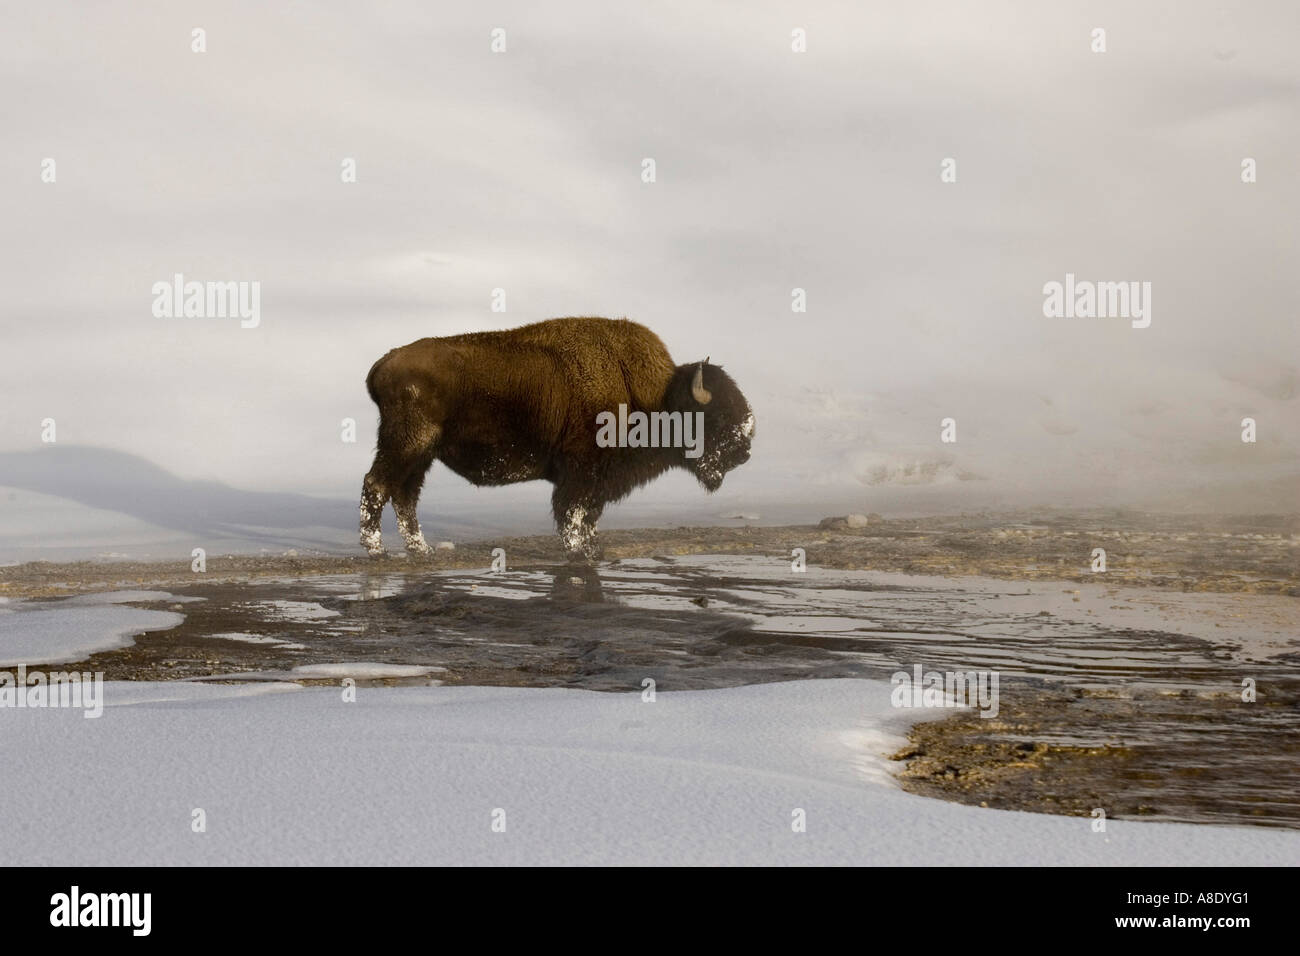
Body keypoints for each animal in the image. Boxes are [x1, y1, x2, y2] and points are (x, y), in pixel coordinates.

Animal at [361, 316, 754, 560]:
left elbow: (590, 514)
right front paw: (579, 551)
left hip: (422, 454)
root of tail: (383, 364)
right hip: (406, 445)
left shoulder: (598, 479)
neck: (651, 396)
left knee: (405, 495)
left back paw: (420, 550)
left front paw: (593, 549)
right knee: (378, 485)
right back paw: (377, 550)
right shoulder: (581, 472)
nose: (745, 451)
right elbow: (573, 511)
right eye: (717, 415)